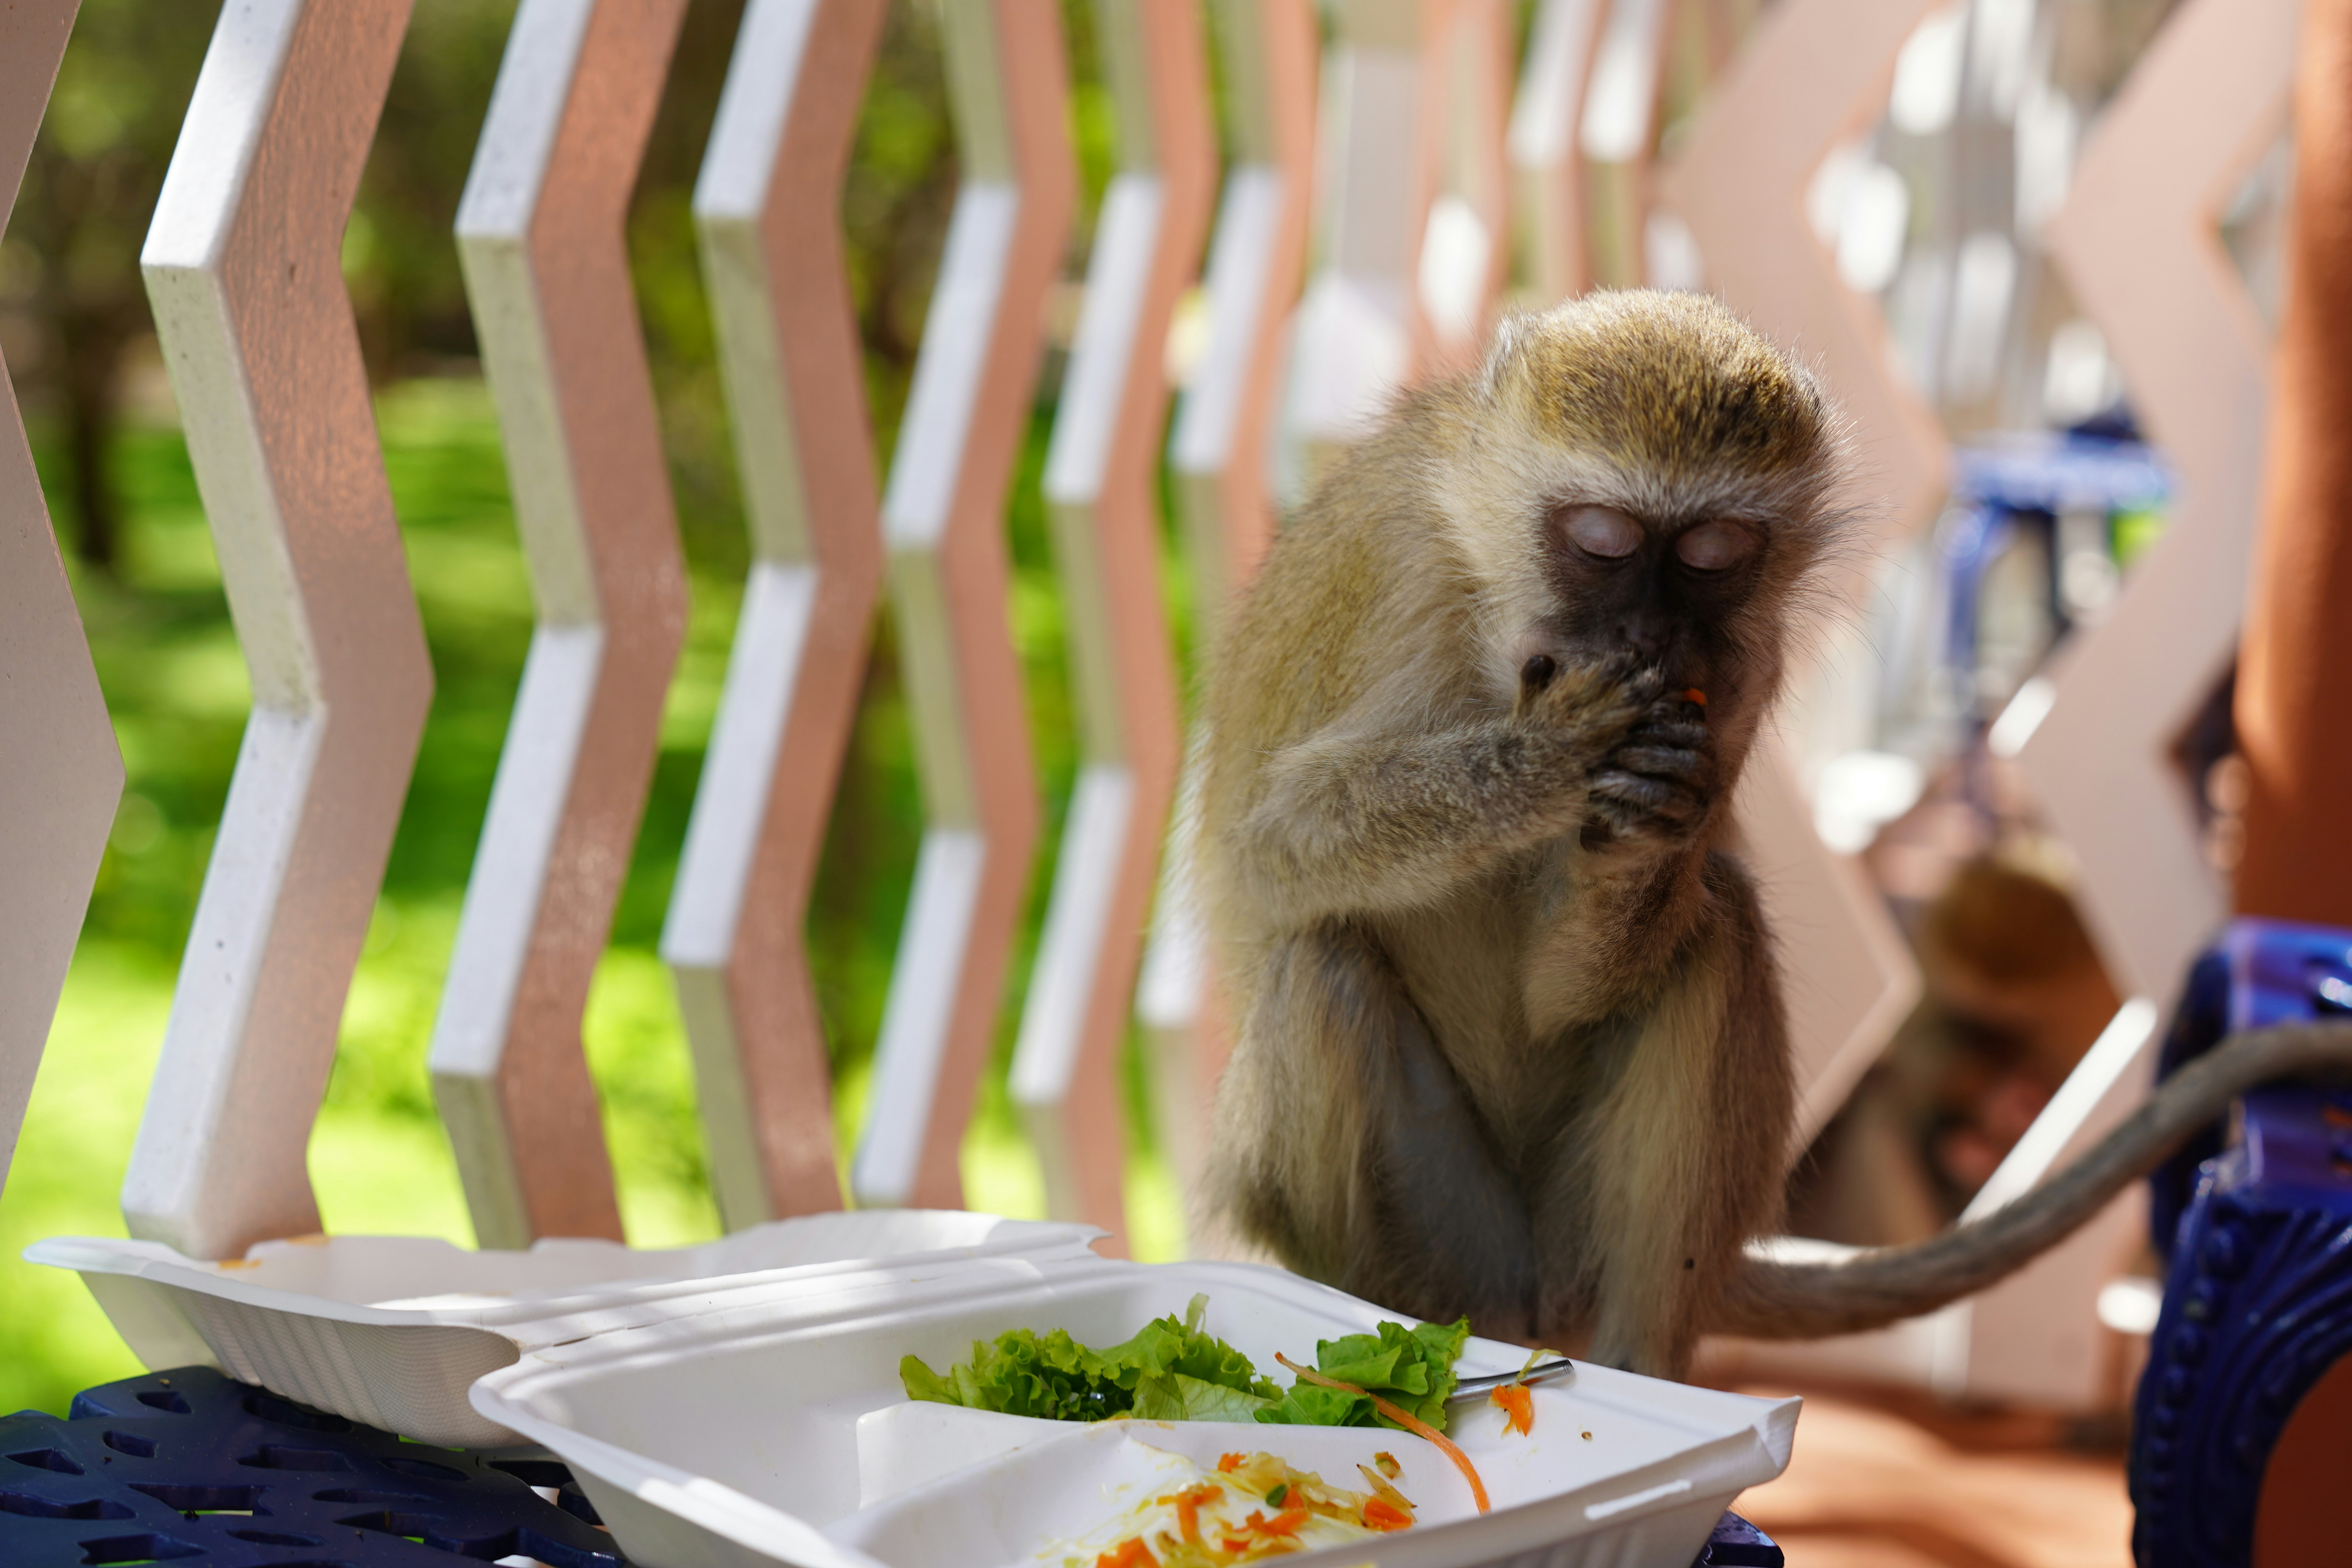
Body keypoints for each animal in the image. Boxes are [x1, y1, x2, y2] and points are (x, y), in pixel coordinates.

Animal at [1195, 288, 2352, 1380]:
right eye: (1602, 543)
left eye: (1713, 557)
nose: (1653, 634)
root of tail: (1516, 1295)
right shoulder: (1406, 576)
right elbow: (1270, 850)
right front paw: (1554, 756)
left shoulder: (1747, 662)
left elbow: (1567, 993)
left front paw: (1657, 831)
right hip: (1451, 1246)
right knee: (1318, 967)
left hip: (1566, 1244)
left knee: (1716, 929)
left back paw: (1647, 1376)